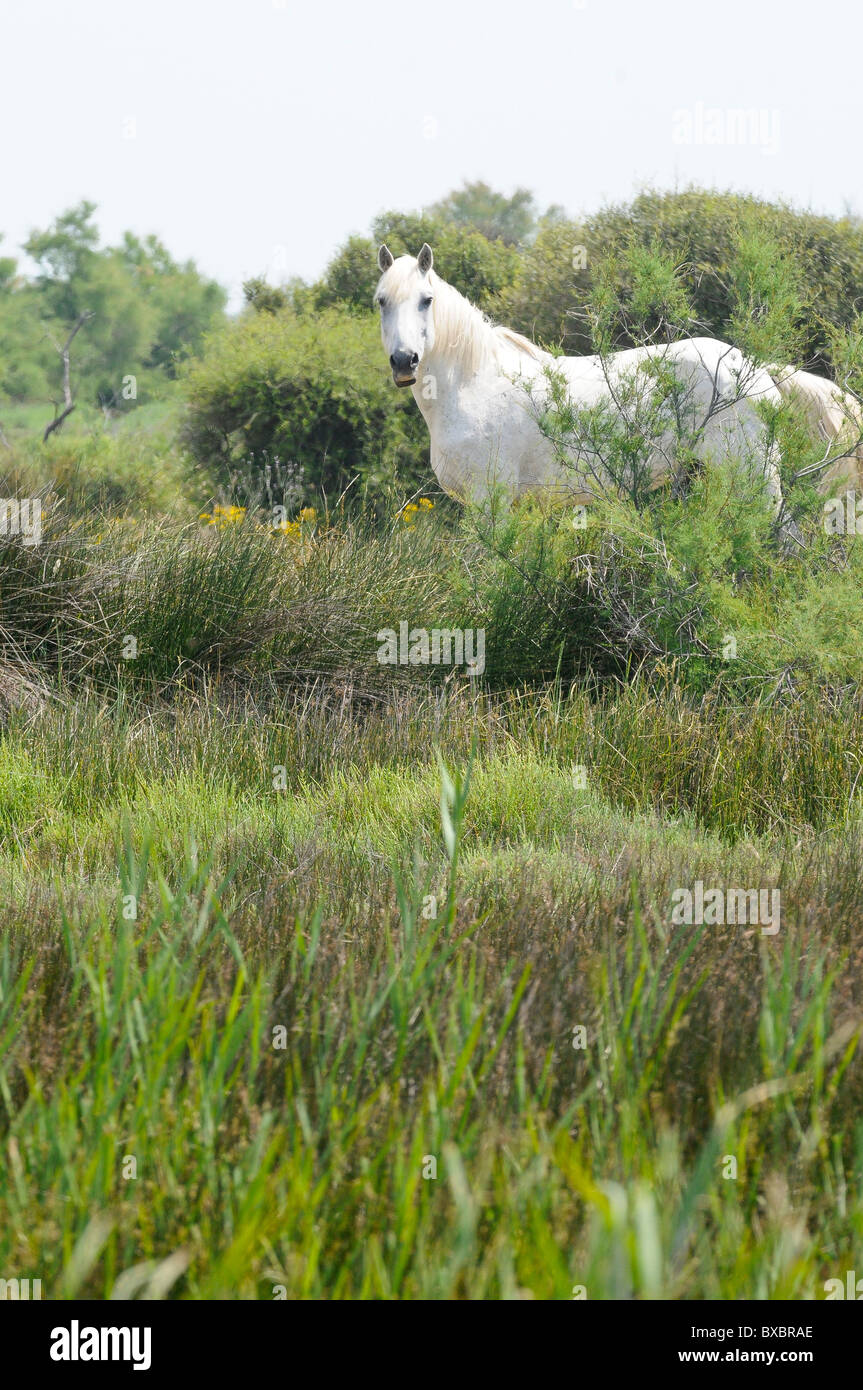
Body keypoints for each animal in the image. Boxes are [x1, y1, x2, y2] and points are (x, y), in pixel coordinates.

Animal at [375, 243, 863, 515]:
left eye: (426, 299)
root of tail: (756, 368)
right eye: (381, 300)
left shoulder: (489, 502)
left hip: (754, 477)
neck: (474, 384)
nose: (404, 361)